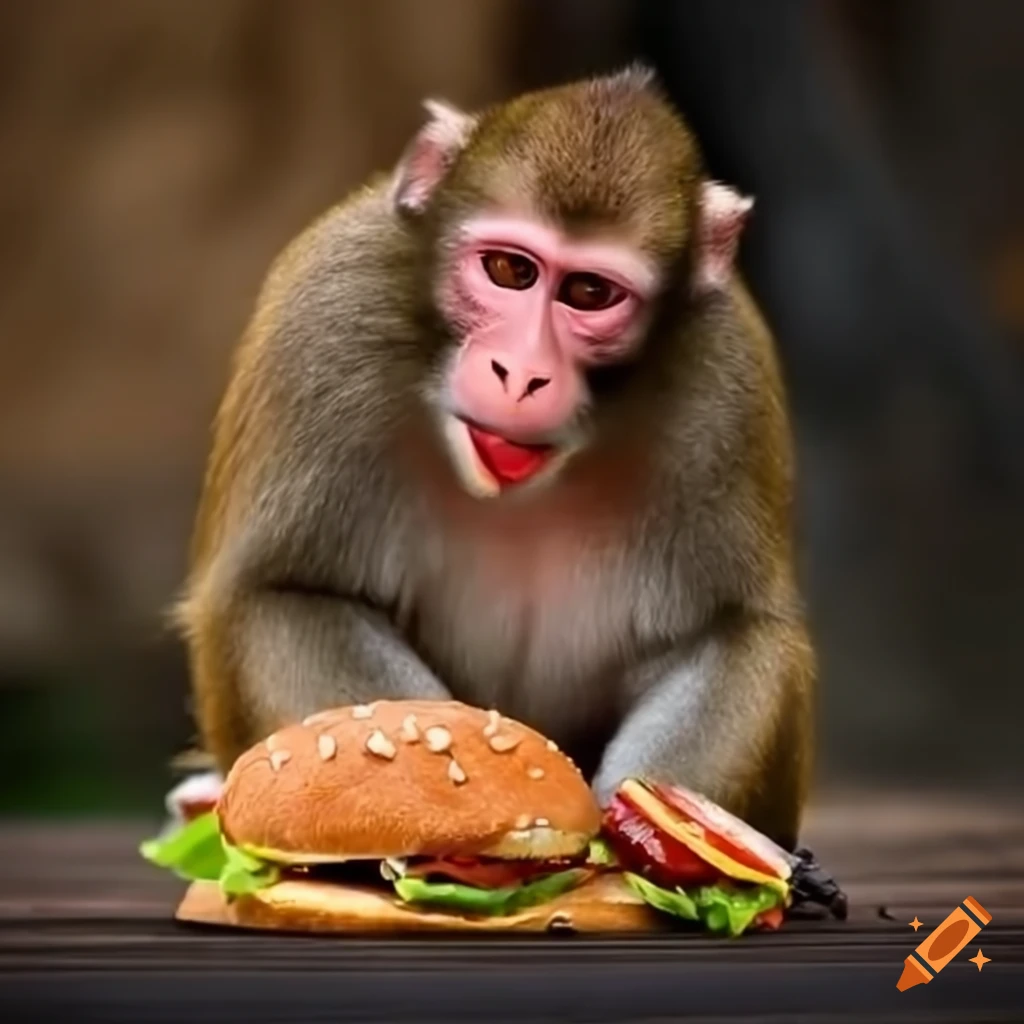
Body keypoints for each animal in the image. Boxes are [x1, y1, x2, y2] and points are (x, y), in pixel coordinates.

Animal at [173, 65, 815, 851]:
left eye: (589, 292)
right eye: (510, 270)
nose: (521, 374)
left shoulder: (725, 385)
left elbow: (728, 635)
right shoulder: (329, 318)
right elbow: (283, 595)